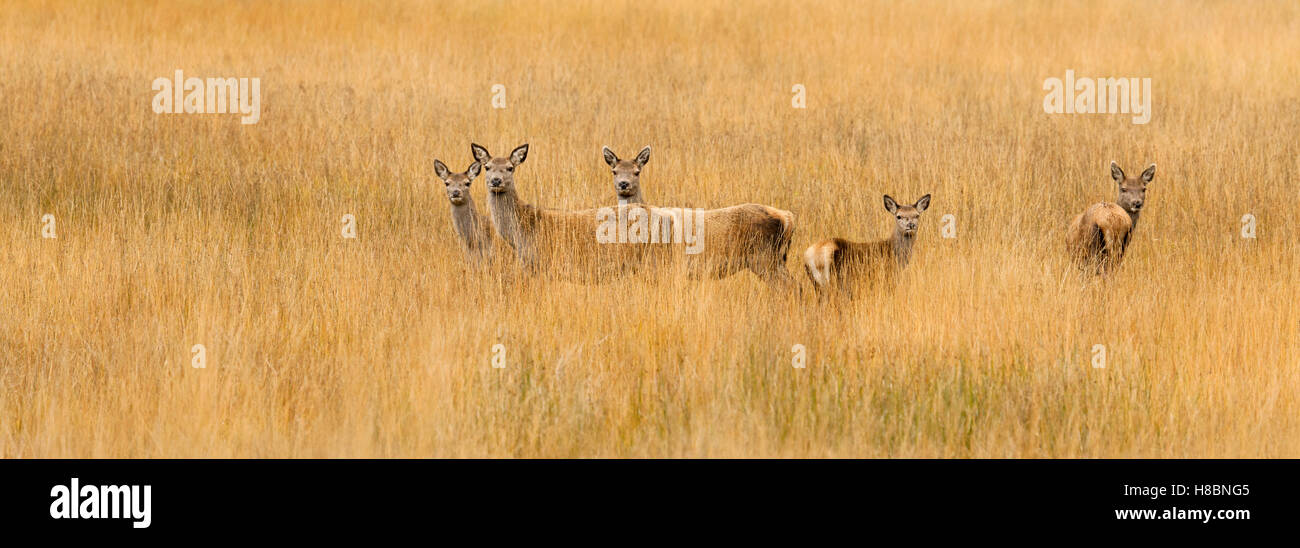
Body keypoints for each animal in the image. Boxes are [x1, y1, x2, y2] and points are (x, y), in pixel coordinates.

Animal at [599, 145, 799, 290]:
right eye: (614, 171)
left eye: (637, 171)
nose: (623, 184)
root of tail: (788, 218)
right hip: (776, 258)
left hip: (763, 256)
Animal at [803, 194, 931, 298]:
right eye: (899, 216)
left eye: (917, 215)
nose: (911, 225)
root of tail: (812, 256)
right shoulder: (886, 278)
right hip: (837, 279)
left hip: (818, 283)